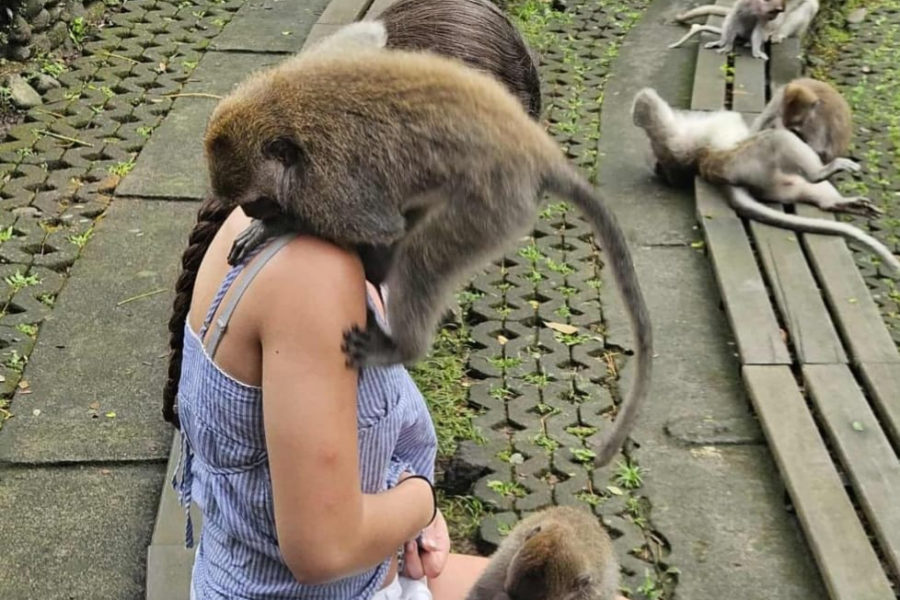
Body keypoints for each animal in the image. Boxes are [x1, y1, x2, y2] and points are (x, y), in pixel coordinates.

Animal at [208, 42, 653, 467]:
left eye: (258, 202)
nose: (257, 214)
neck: (286, 113)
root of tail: (536, 151)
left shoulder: (332, 187)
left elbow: (381, 231)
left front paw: (279, 227)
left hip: (494, 200)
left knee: (421, 257)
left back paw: (402, 347)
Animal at [631, 87, 900, 274]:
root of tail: (721, 172)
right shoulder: (683, 146)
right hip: (746, 158)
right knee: (779, 139)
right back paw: (822, 171)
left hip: (774, 180)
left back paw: (835, 201)